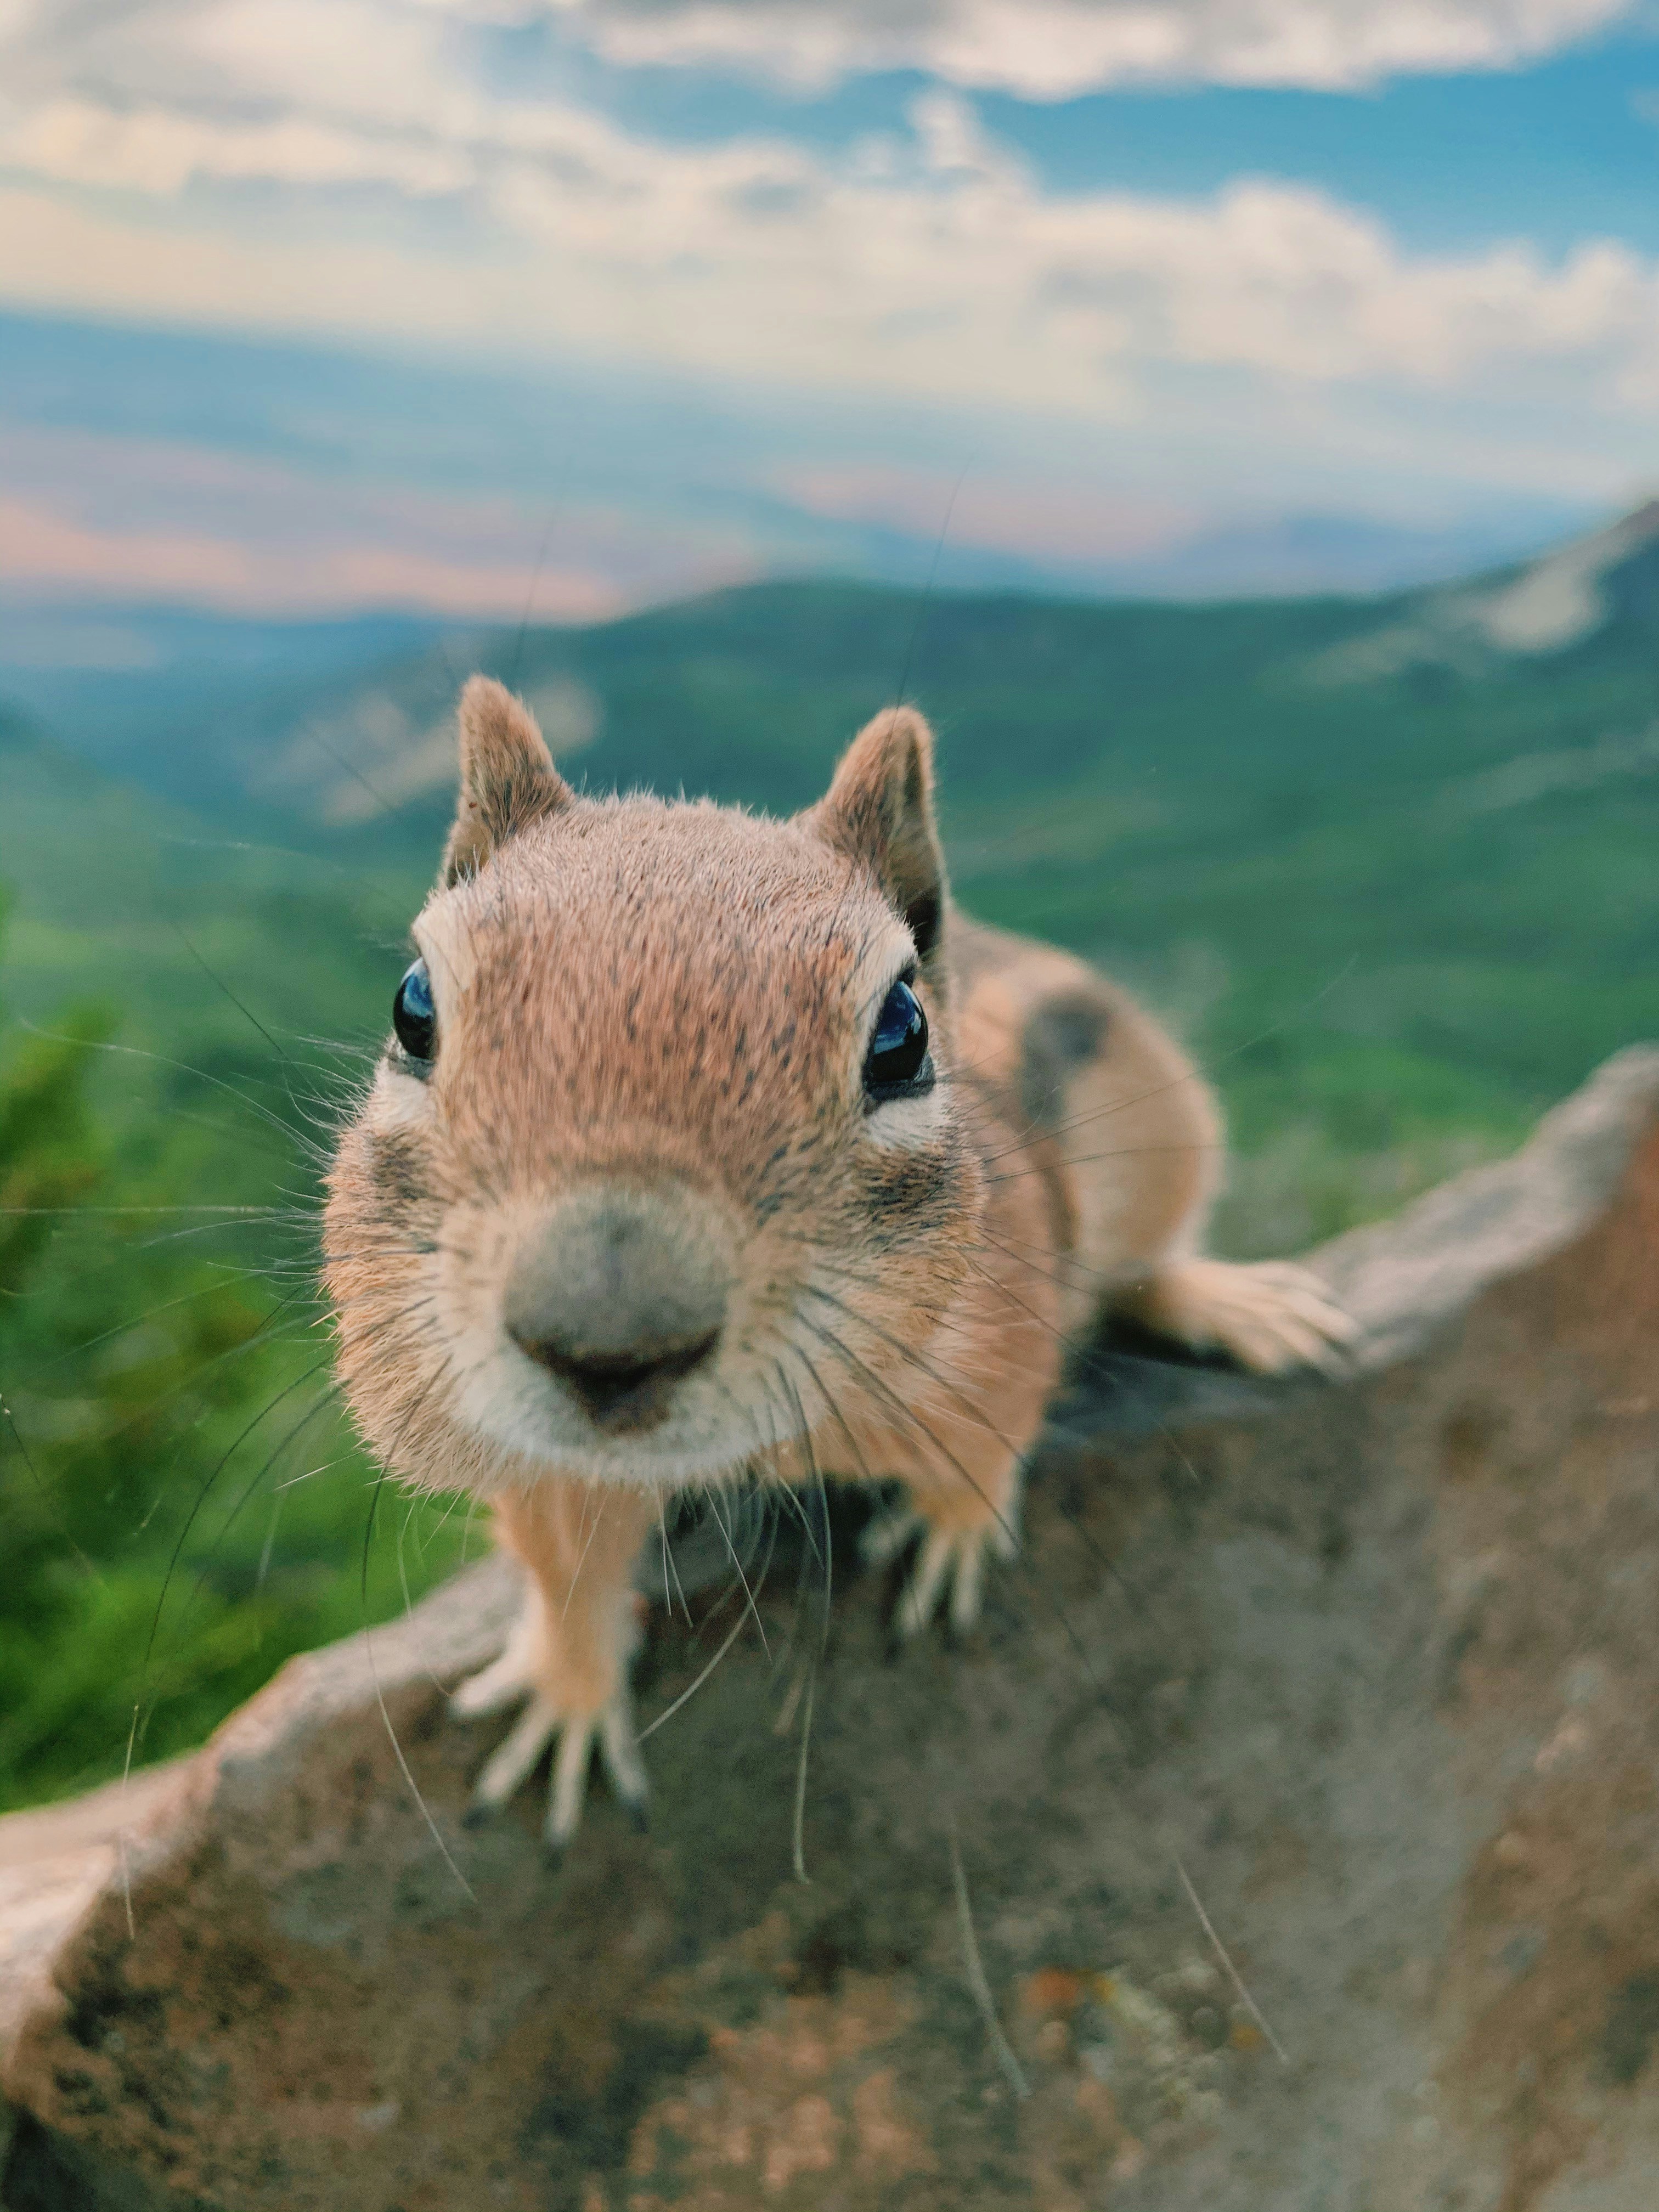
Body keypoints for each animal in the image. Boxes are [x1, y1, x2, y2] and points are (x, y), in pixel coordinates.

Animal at [324, 676, 1351, 1850]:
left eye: (900, 1033)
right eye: (412, 1006)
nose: (606, 1337)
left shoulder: (1009, 1311)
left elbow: (994, 1432)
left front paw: (950, 1532)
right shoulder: (536, 1458)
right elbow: (561, 1568)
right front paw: (565, 1694)